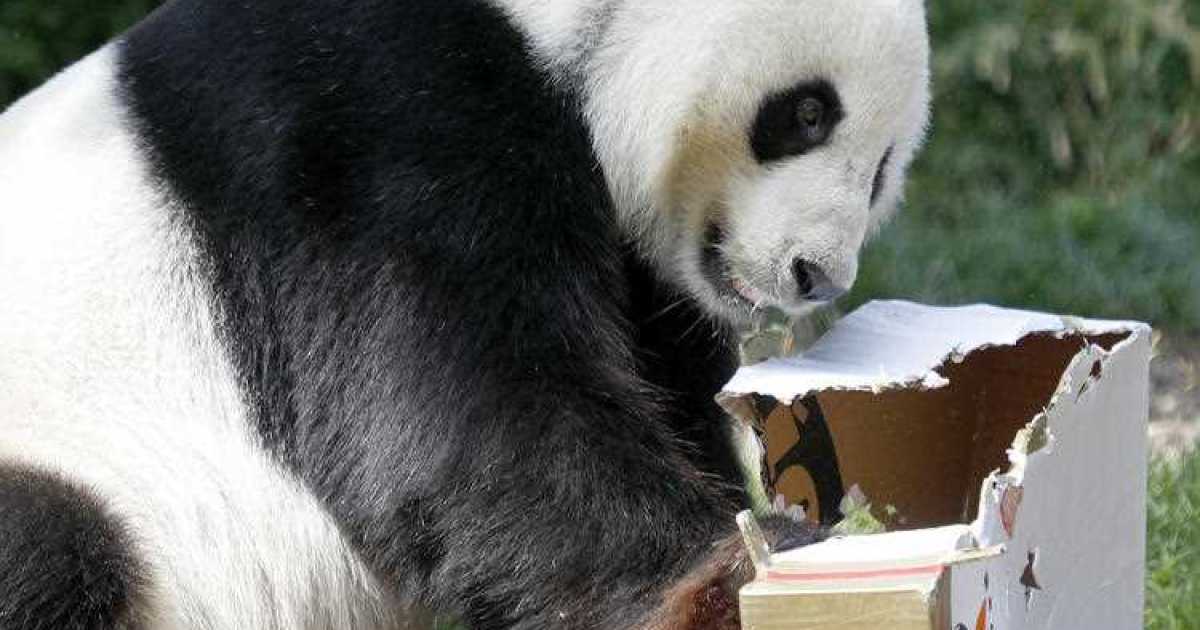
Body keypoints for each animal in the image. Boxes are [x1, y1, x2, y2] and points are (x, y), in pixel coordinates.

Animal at [0, 0, 930, 628]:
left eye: (884, 166)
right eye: (806, 112)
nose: (817, 276)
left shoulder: (645, 274)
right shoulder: (371, 126)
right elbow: (470, 421)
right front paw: (743, 564)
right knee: (54, 549)